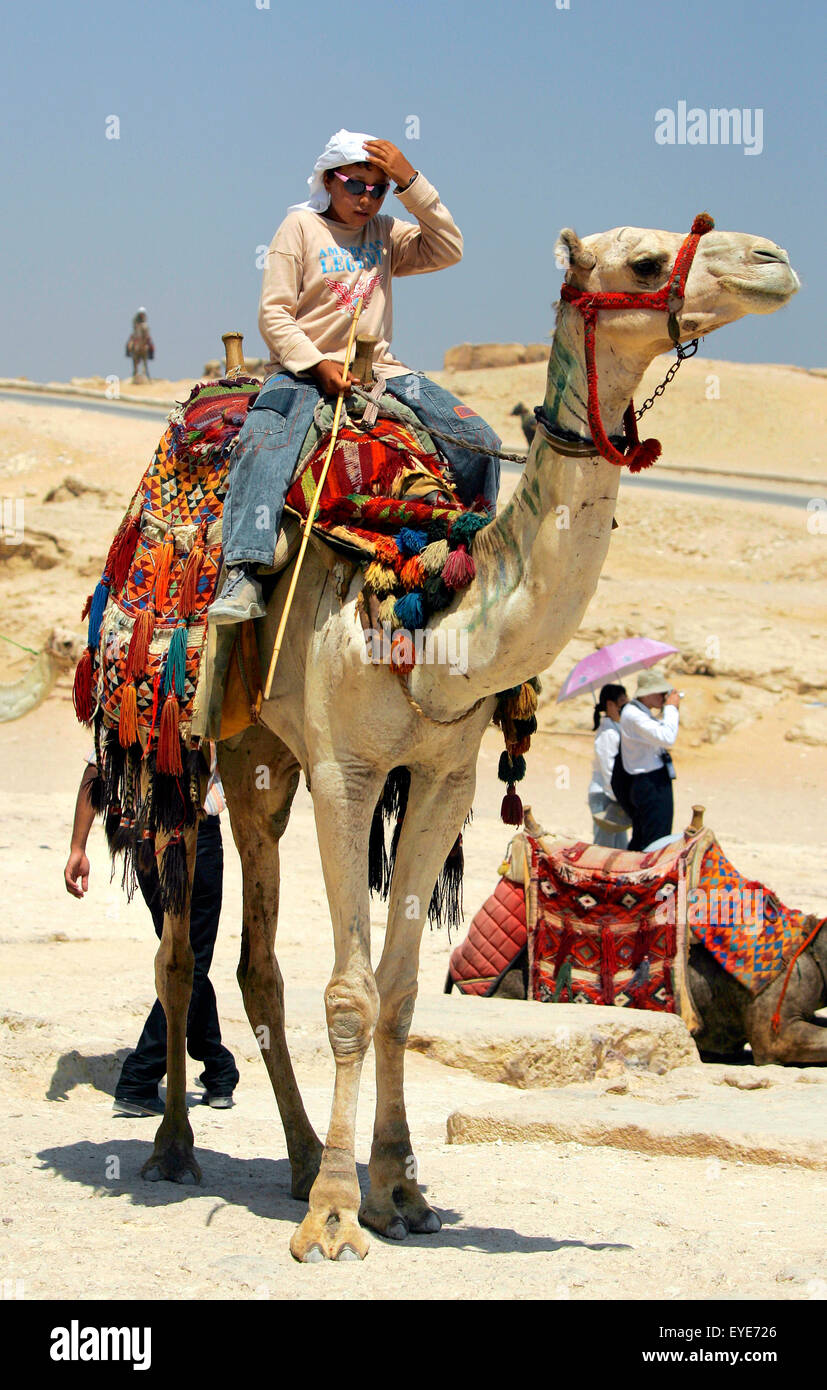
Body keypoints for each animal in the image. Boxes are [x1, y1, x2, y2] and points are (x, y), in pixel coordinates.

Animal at [138, 218, 799, 1261]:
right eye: (645, 262)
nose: (772, 261)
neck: (430, 611)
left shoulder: (442, 777)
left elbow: (402, 994)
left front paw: (398, 1191)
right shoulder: (347, 772)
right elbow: (351, 994)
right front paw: (336, 1215)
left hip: (263, 756)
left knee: (252, 958)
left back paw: (294, 1156)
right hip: (188, 749)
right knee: (183, 952)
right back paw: (175, 1150)